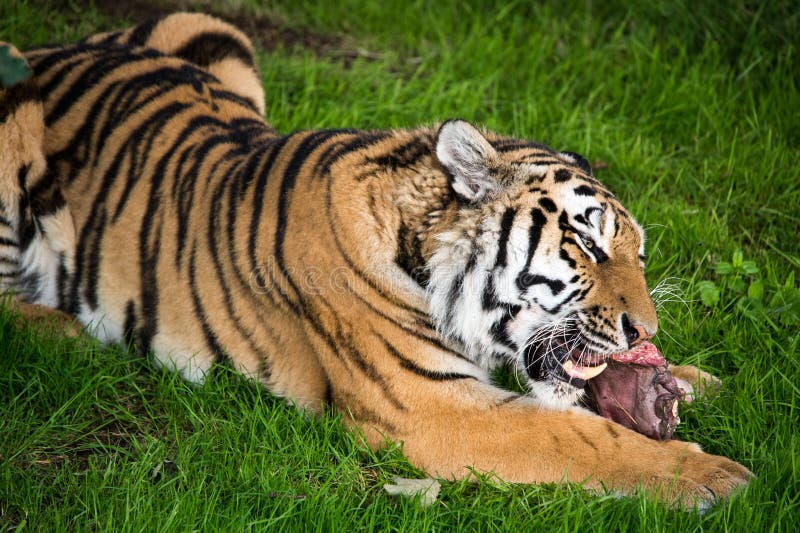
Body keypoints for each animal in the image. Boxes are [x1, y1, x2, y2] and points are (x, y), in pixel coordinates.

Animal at [0, 12, 750, 508]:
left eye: (640, 255)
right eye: (588, 244)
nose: (646, 332)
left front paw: (697, 381)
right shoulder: (433, 409)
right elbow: (579, 438)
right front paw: (714, 477)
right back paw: (62, 331)